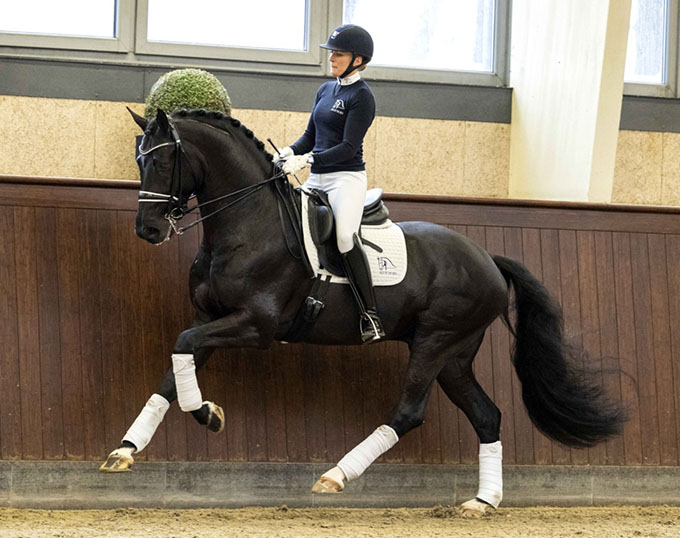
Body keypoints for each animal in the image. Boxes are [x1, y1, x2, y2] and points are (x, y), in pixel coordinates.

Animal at [100, 107, 626, 517]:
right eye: (138, 158)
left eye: (164, 158)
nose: (148, 229)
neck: (249, 225)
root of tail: (487, 259)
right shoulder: (210, 320)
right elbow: (175, 368)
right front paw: (127, 448)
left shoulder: (255, 325)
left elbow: (182, 354)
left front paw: (209, 415)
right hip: (454, 355)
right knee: (487, 415)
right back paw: (483, 502)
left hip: (436, 342)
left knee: (410, 412)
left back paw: (336, 475)